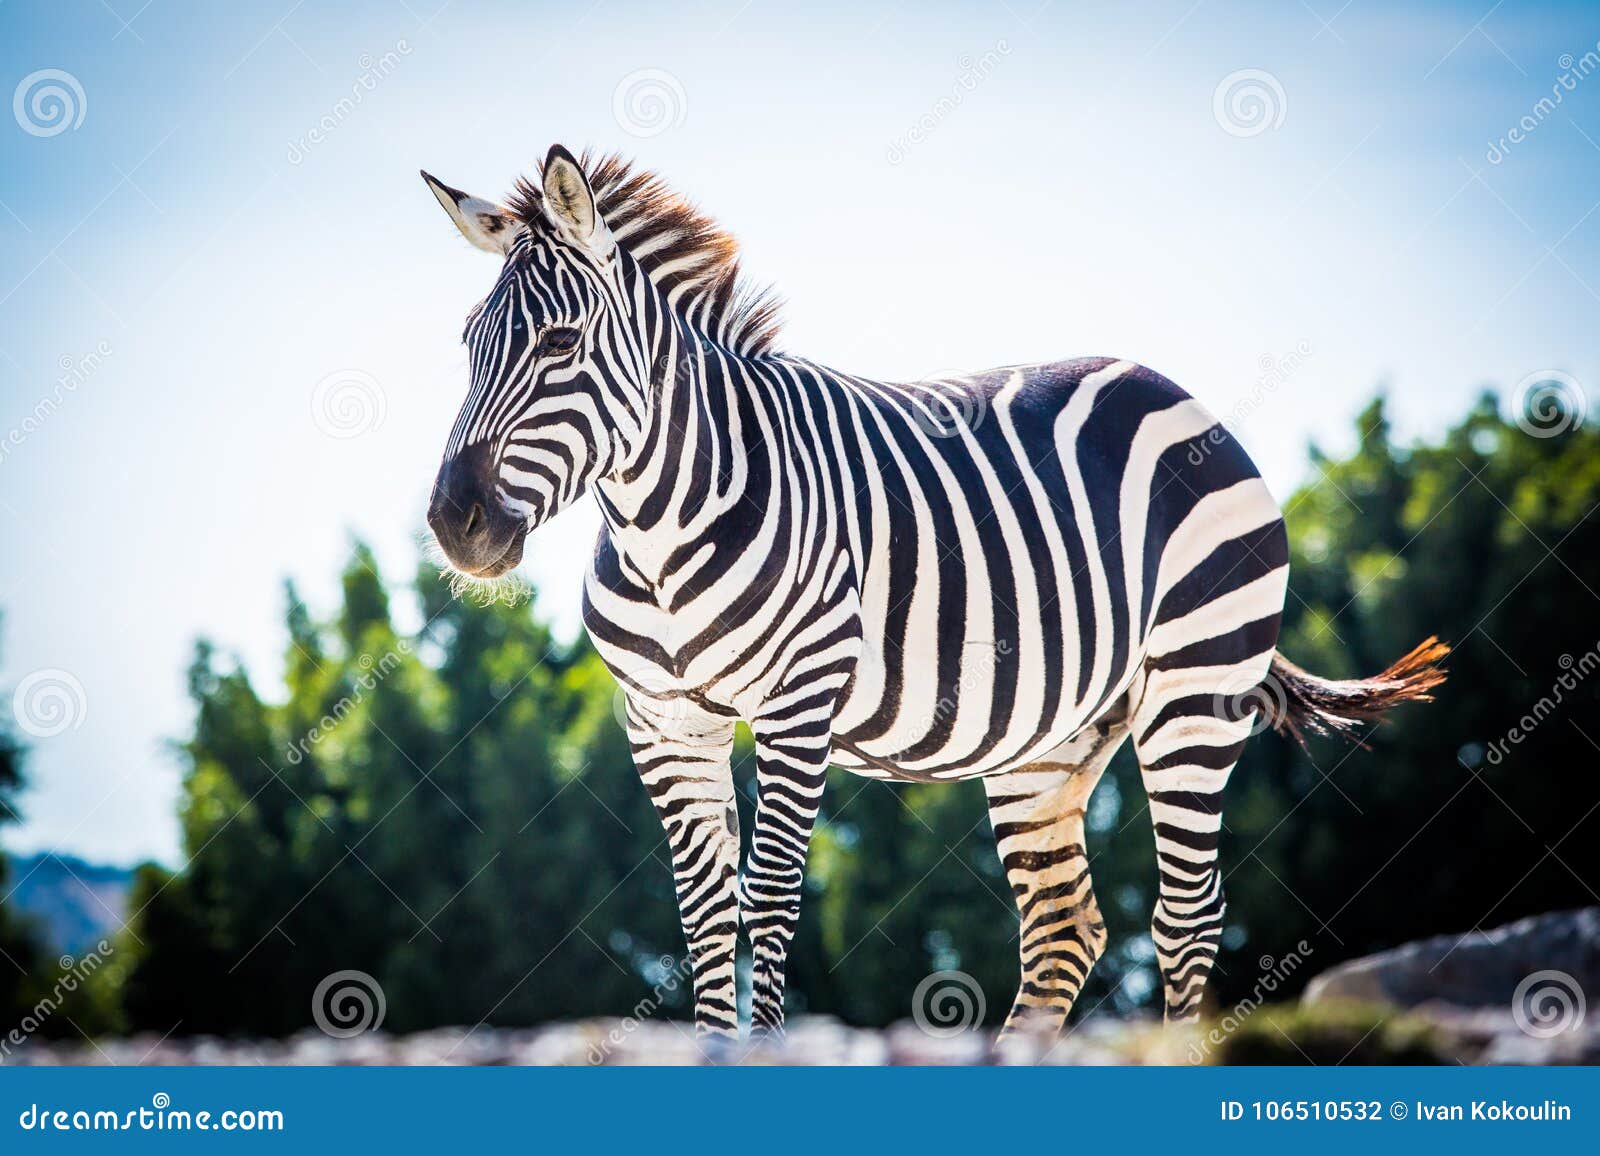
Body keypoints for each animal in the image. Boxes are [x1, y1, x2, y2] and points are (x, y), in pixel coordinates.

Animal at [420, 145, 1447, 1039]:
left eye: (560, 342)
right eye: (467, 344)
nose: (454, 523)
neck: (659, 536)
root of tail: (1170, 388)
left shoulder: (799, 704)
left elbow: (773, 897)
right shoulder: (664, 724)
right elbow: (706, 915)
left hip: (1196, 686)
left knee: (1187, 914)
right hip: (1055, 735)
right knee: (1065, 931)